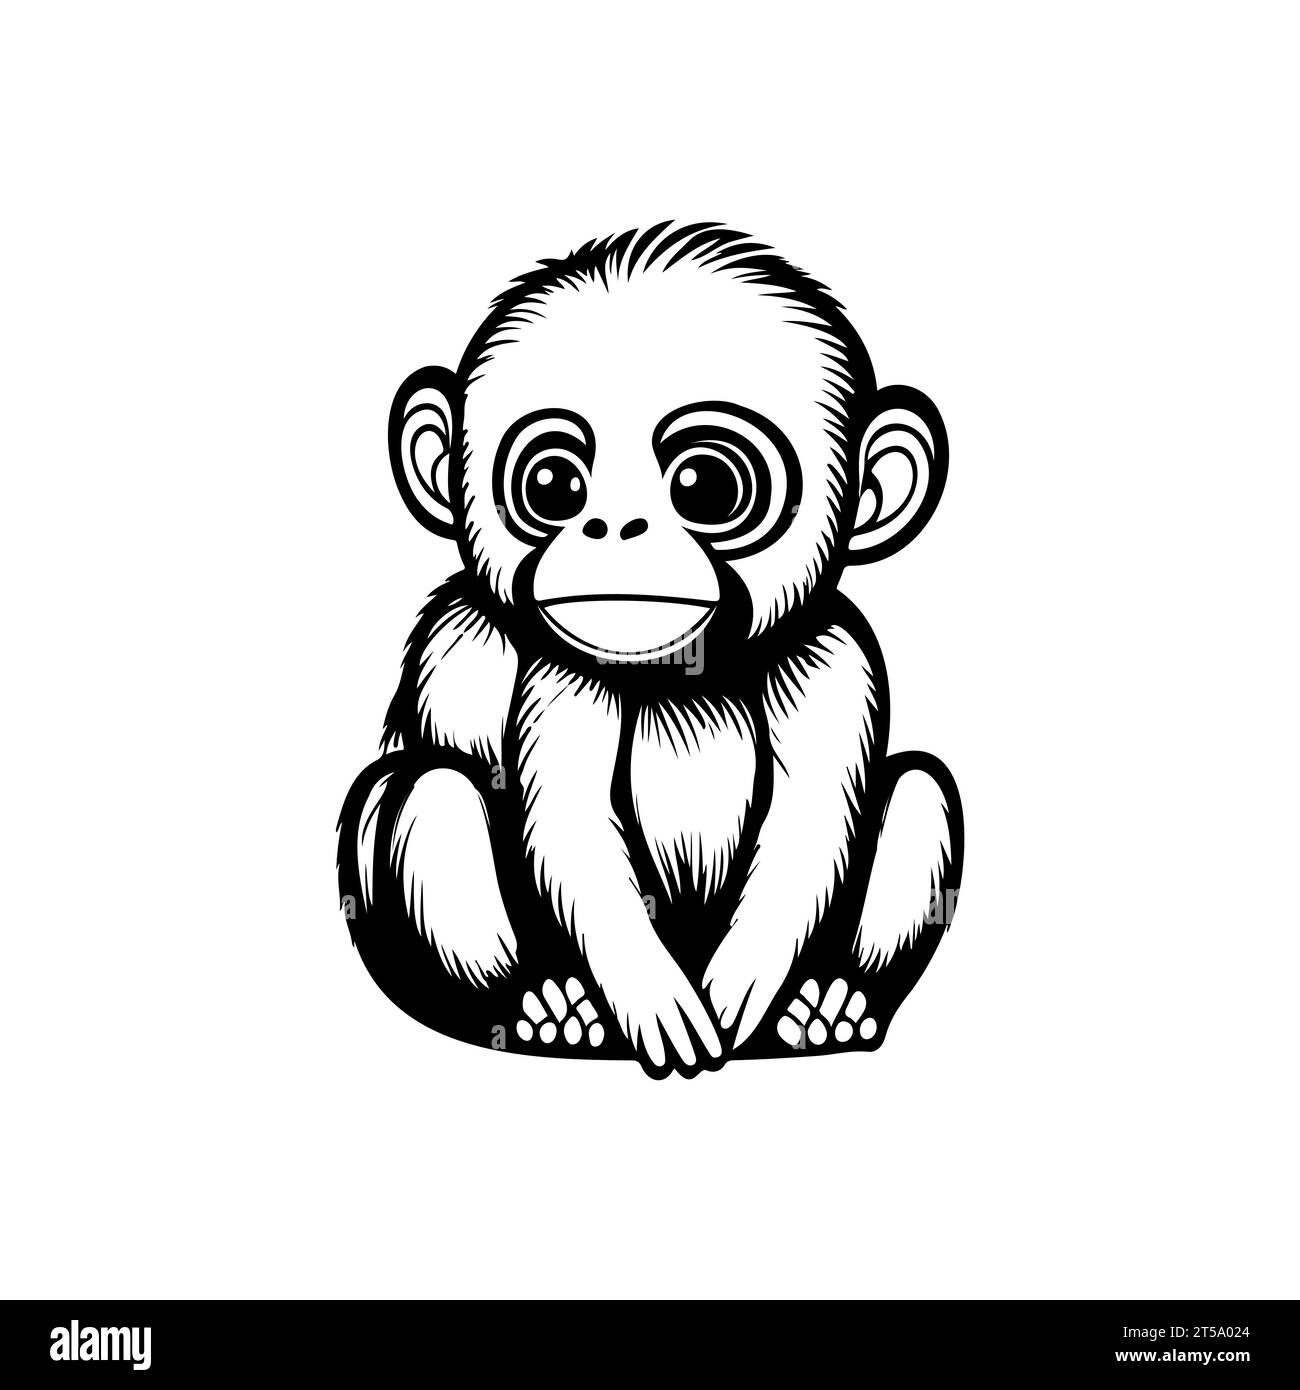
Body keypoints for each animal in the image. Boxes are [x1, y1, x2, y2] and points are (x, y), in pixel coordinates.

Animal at [336, 222, 964, 1079]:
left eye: (707, 485)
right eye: (553, 484)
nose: (615, 527)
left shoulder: (836, 655)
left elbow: (813, 823)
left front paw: (745, 982)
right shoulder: (561, 673)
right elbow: (570, 828)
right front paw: (649, 994)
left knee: (921, 788)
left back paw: (834, 1003)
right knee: (421, 789)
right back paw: (541, 1009)